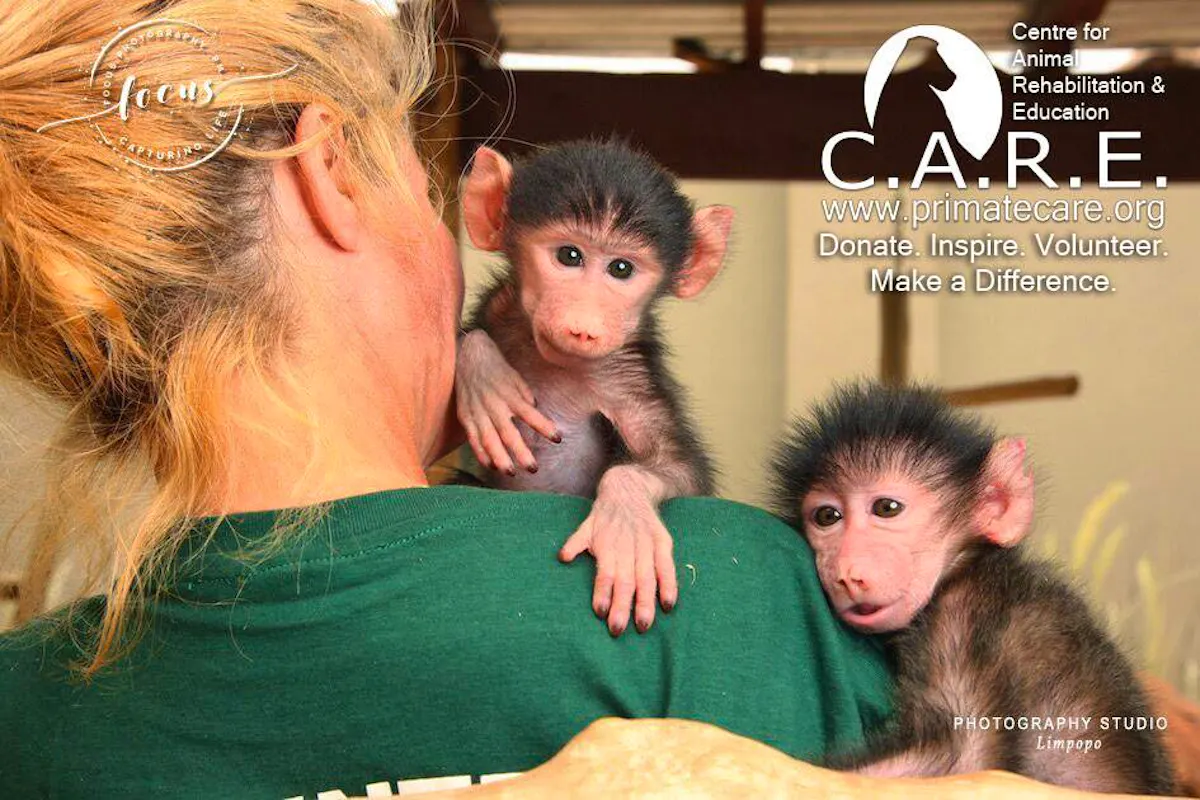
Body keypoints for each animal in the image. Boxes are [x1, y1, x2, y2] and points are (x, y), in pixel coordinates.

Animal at [455, 139, 733, 638]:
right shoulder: (503, 307)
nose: (583, 327)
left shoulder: (629, 378)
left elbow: (681, 468)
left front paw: (627, 520)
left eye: (621, 268)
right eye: (569, 256)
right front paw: (484, 378)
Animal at [767, 382, 1175, 795]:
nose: (847, 573)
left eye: (886, 508)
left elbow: (967, 757)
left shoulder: (964, 625)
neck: (968, 567)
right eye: (827, 517)